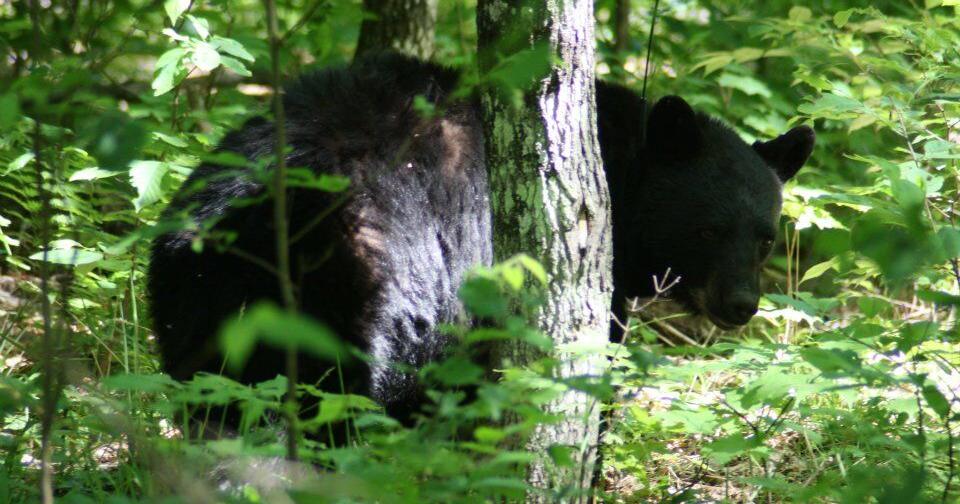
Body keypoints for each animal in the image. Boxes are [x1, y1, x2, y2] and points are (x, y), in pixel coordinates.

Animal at [148, 53, 814, 423]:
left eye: (764, 237)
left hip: (199, 297)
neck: (613, 170)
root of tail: (248, 210)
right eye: (707, 228)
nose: (740, 304)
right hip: (354, 283)